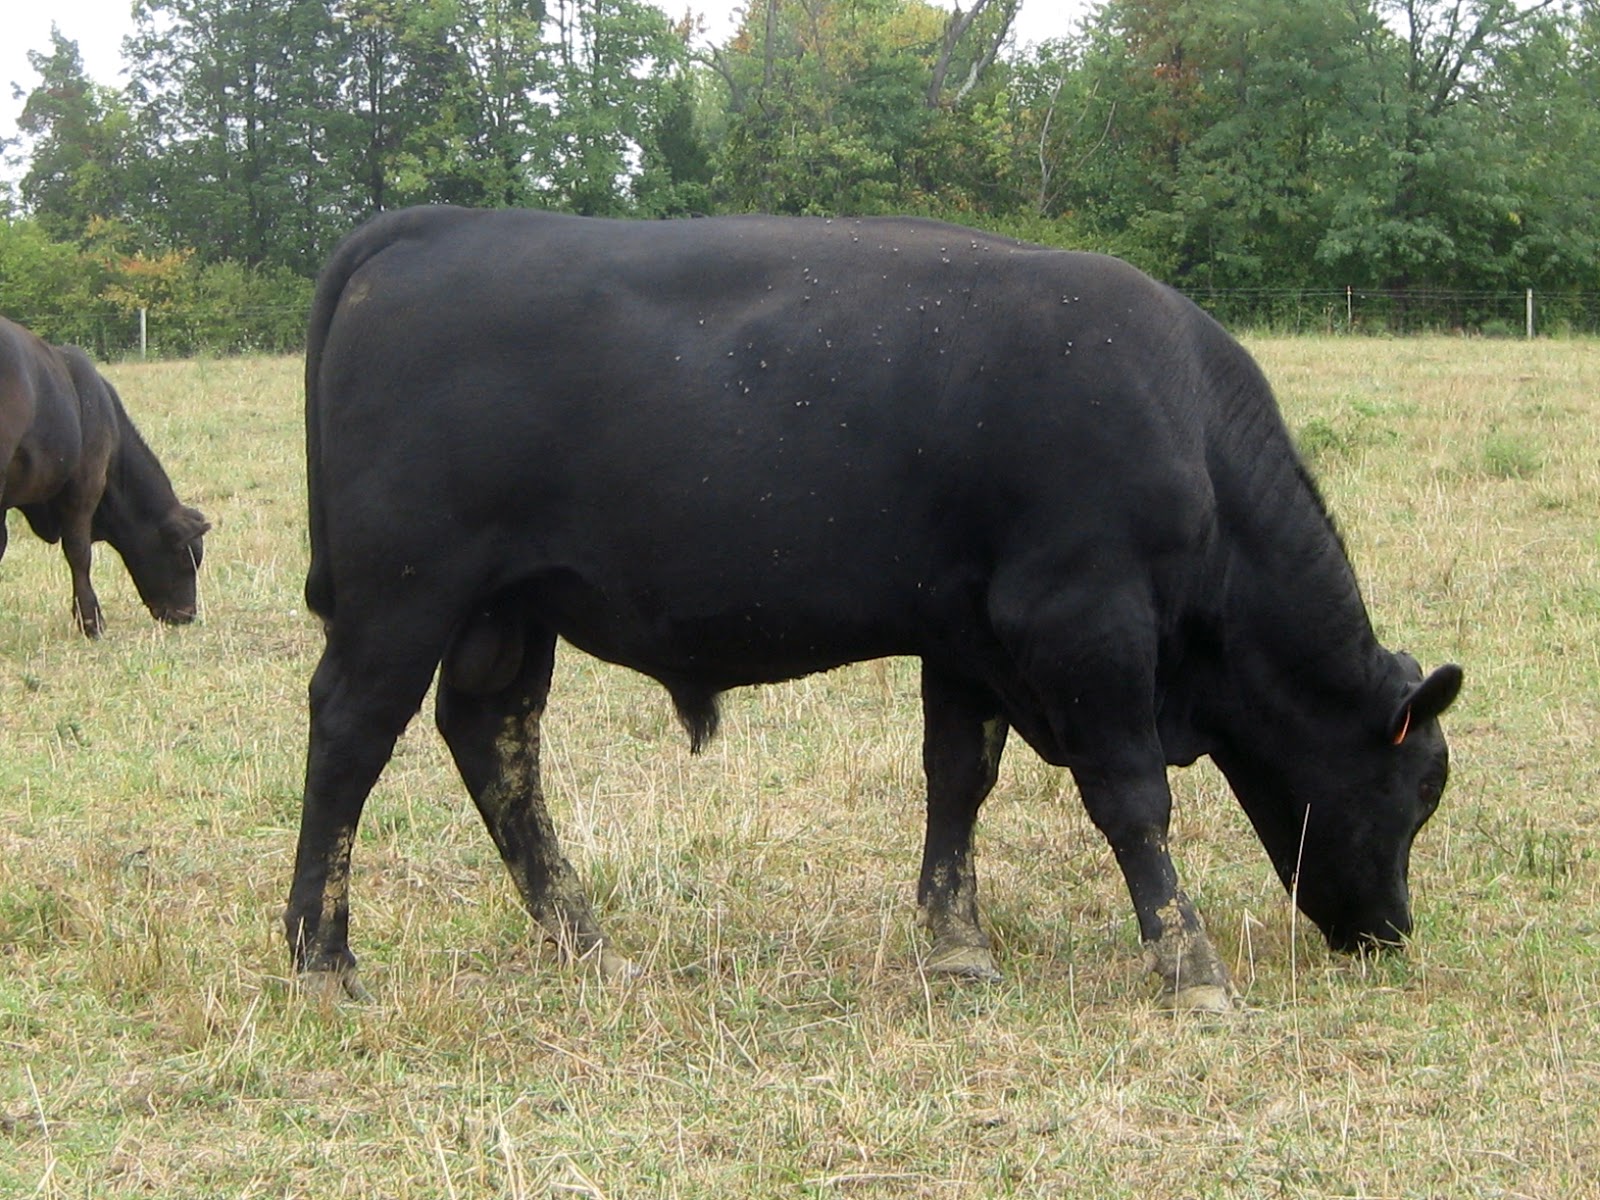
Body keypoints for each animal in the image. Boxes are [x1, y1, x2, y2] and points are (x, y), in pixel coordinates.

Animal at [286, 207, 1462, 1011]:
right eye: (1419, 789)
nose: (1391, 933)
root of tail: (439, 223)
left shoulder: (971, 636)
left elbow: (958, 778)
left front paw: (957, 944)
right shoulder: (1086, 621)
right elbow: (1131, 799)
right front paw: (1191, 967)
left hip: (507, 611)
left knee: (495, 744)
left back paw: (584, 939)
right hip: (404, 594)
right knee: (349, 739)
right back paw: (323, 959)